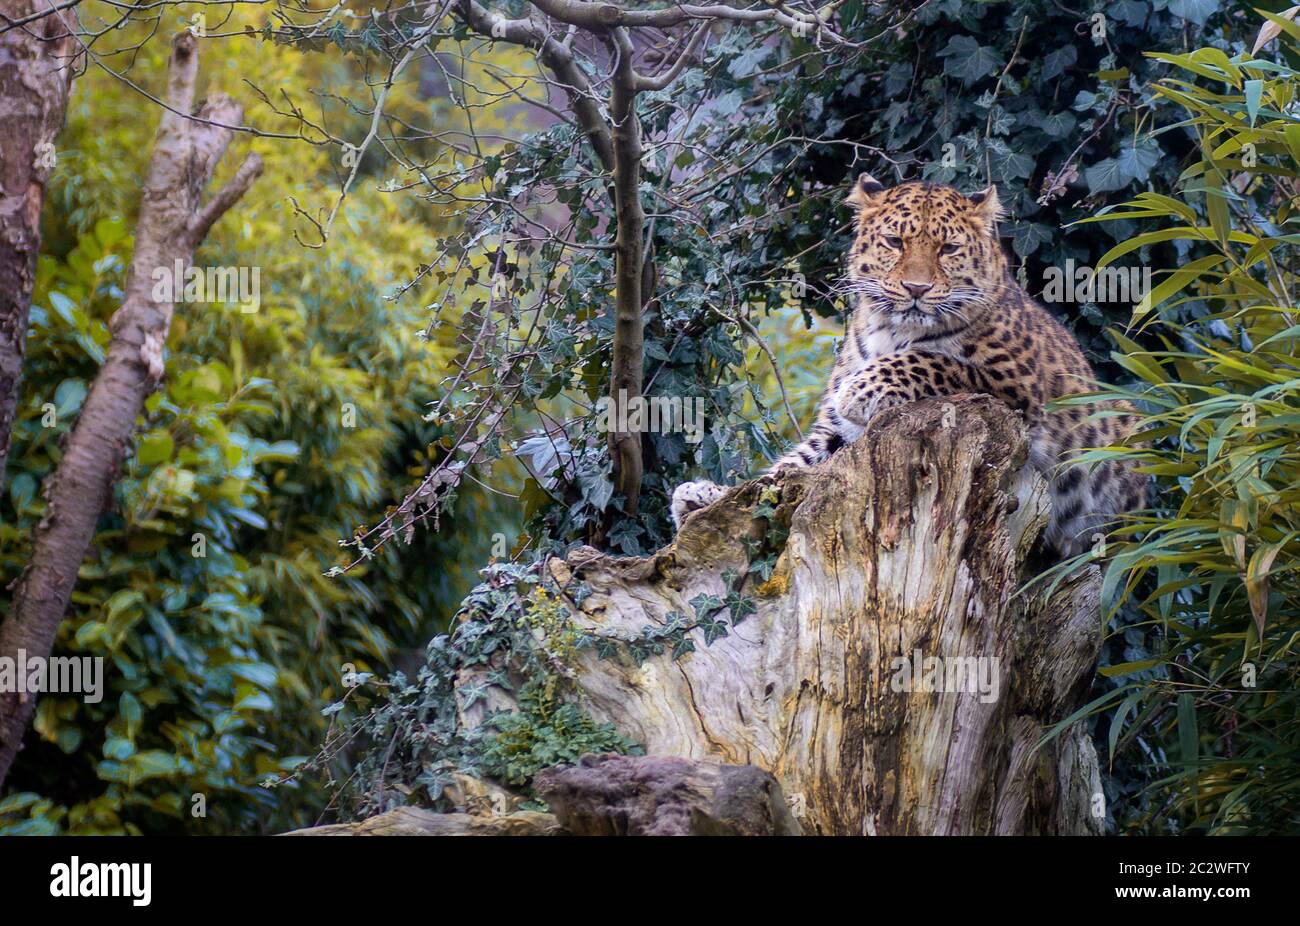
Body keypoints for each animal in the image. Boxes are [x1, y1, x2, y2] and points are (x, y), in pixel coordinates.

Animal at [671, 173, 1146, 558]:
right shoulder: (838, 434)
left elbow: (933, 359)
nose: (917, 288)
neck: (890, 329)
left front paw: (860, 389)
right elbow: (793, 467)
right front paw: (708, 496)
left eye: (948, 248)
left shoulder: (1014, 383)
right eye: (895, 243)